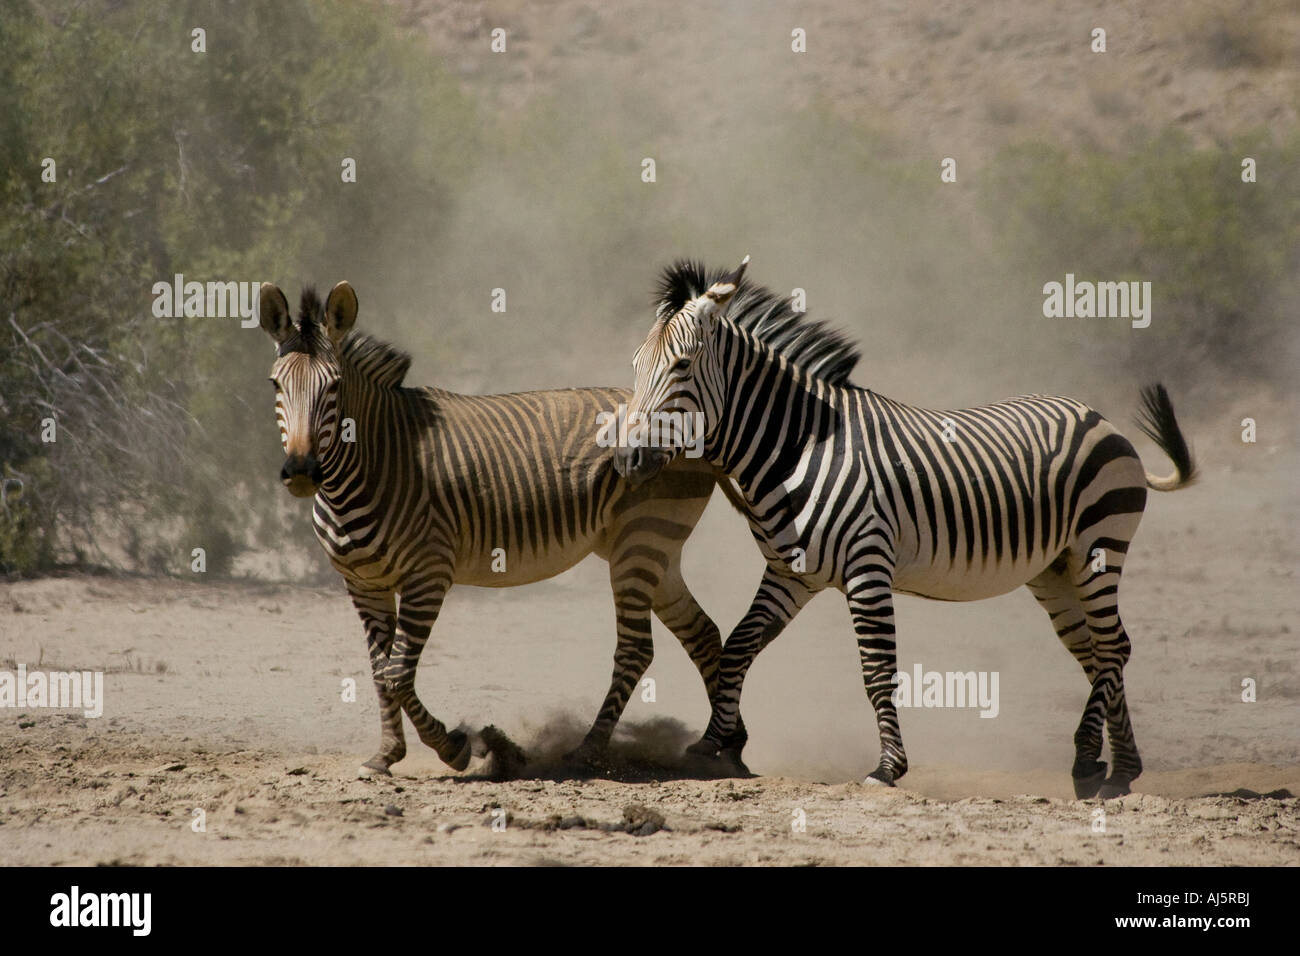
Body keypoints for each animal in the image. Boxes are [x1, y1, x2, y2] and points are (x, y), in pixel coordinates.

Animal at [258, 280, 737, 777]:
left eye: (333, 387)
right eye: (275, 384)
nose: (301, 472)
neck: (374, 464)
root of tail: (701, 428)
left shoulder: (428, 575)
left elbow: (397, 673)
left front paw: (454, 746)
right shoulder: (363, 584)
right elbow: (379, 672)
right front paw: (386, 754)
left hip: (640, 540)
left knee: (637, 650)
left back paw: (588, 751)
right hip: (656, 548)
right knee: (702, 632)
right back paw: (726, 747)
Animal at [614, 257, 1195, 798]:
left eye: (682, 365)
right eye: (636, 365)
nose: (626, 458)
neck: (799, 446)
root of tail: (1097, 415)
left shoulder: (867, 565)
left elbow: (876, 670)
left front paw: (888, 768)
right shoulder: (790, 572)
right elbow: (738, 646)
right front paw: (713, 742)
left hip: (1099, 544)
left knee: (1112, 647)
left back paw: (1088, 761)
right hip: (1054, 569)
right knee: (1101, 650)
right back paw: (1120, 769)